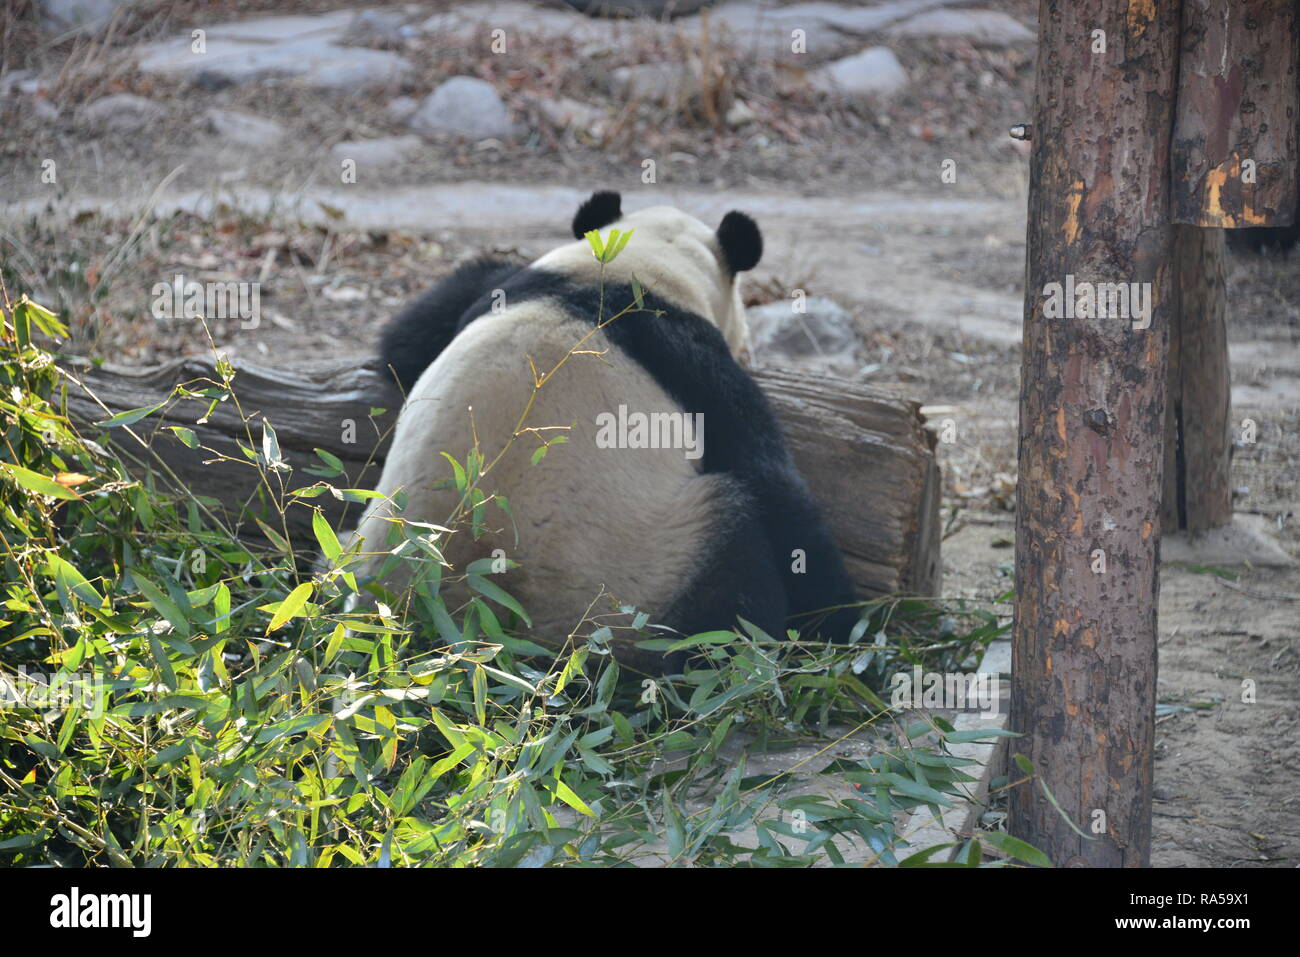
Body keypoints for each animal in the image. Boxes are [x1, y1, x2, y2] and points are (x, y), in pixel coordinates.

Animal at [350, 190, 859, 671]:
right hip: (640, 579)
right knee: (732, 573)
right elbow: (773, 487)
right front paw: (834, 621)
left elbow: (408, 339)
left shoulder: (509, 290)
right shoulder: (694, 365)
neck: (635, 267)